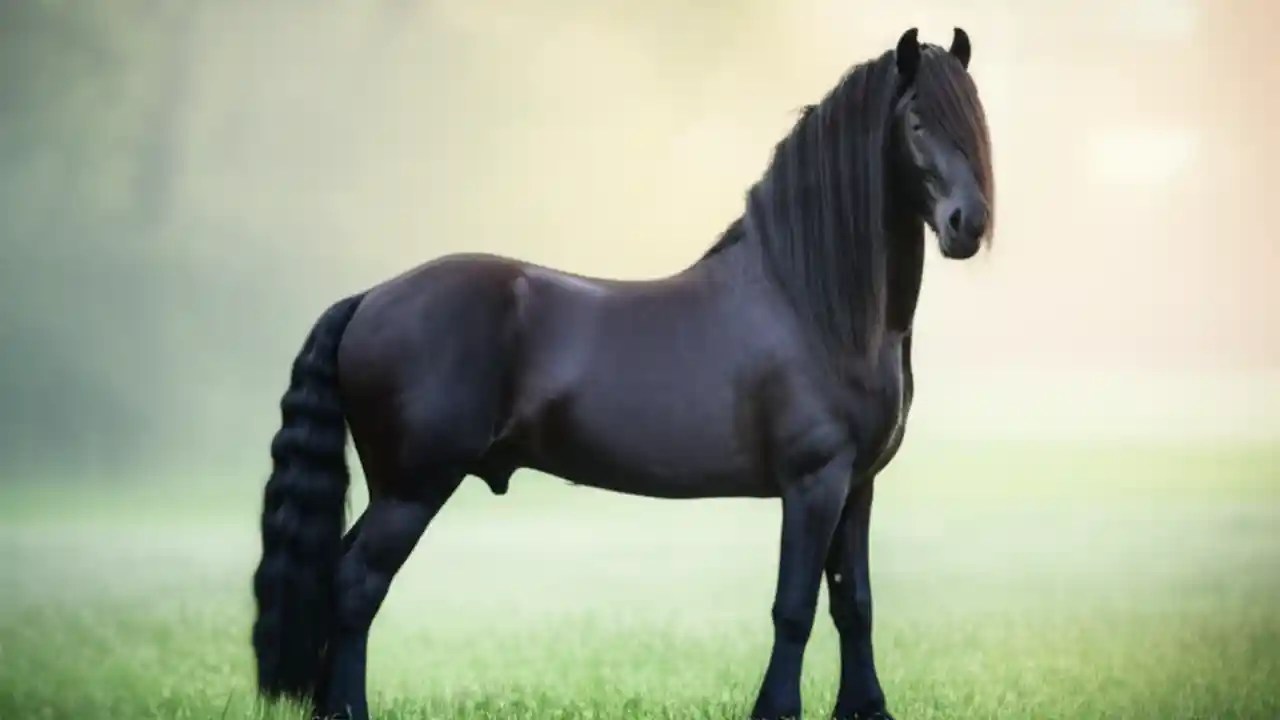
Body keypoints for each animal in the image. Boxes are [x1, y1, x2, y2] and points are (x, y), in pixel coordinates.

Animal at [252, 27, 994, 720]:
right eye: (918, 122)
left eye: (973, 118)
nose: (968, 223)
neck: (811, 304)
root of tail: (369, 298)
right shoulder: (813, 482)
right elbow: (795, 606)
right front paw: (778, 708)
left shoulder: (856, 485)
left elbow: (854, 603)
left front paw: (867, 706)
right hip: (412, 488)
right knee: (356, 584)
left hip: (393, 488)